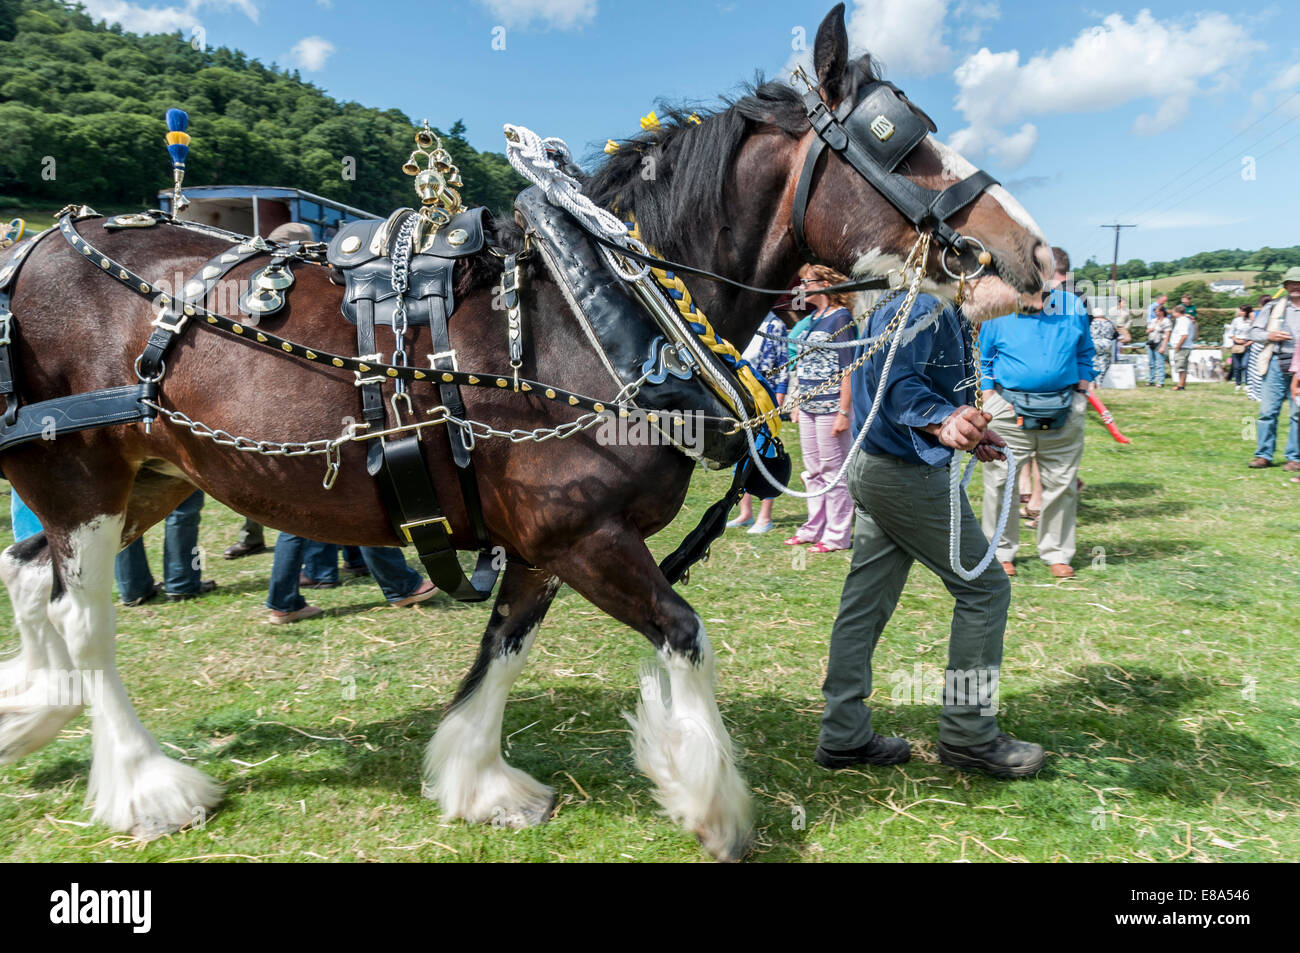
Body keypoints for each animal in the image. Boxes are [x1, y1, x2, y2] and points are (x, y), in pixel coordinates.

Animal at [0, 4, 1049, 860]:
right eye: (901, 144)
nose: (1039, 255)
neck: (592, 311)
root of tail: (37, 244)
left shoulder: (544, 541)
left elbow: (502, 644)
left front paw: (478, 778)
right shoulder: (584, 533)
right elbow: (683, 633)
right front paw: (711, 803)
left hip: (155, 476)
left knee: (31, 577)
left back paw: (34, 710)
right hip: (80, 477)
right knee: (82, 619)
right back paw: (144, 783)